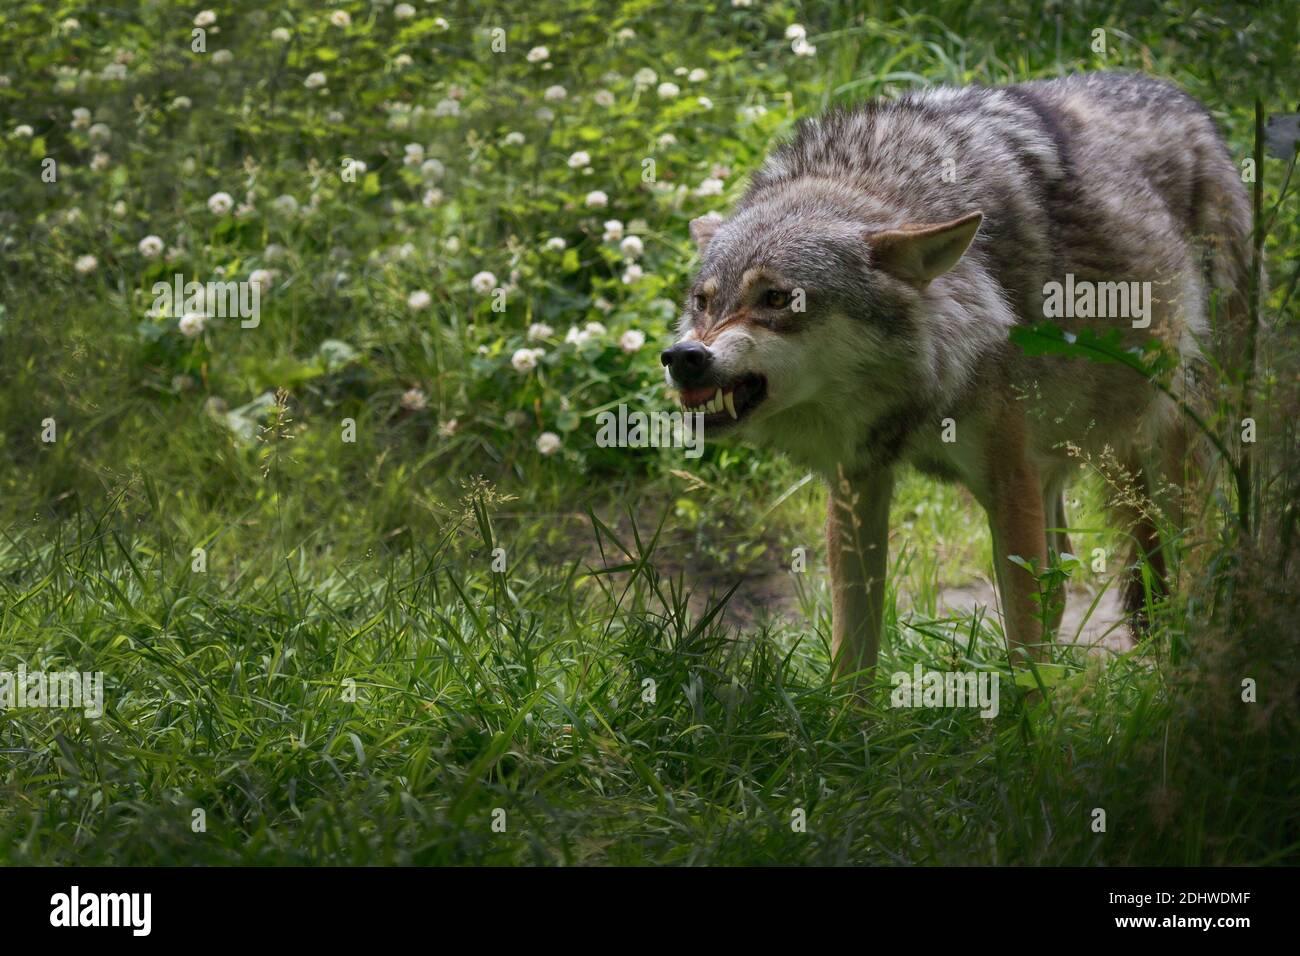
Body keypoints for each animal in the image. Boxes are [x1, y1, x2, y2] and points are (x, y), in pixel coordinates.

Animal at [662, 72, 1252, 678]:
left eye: (777, 298)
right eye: (703, 302)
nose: (683, 356)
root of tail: (1182, 98)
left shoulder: (1009, 484)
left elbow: (1024, 646)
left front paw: (1032, 705)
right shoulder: (858, 484)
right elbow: (853, 650)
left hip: (1180, 442)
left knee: (1194, 560)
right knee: (1067, 576)